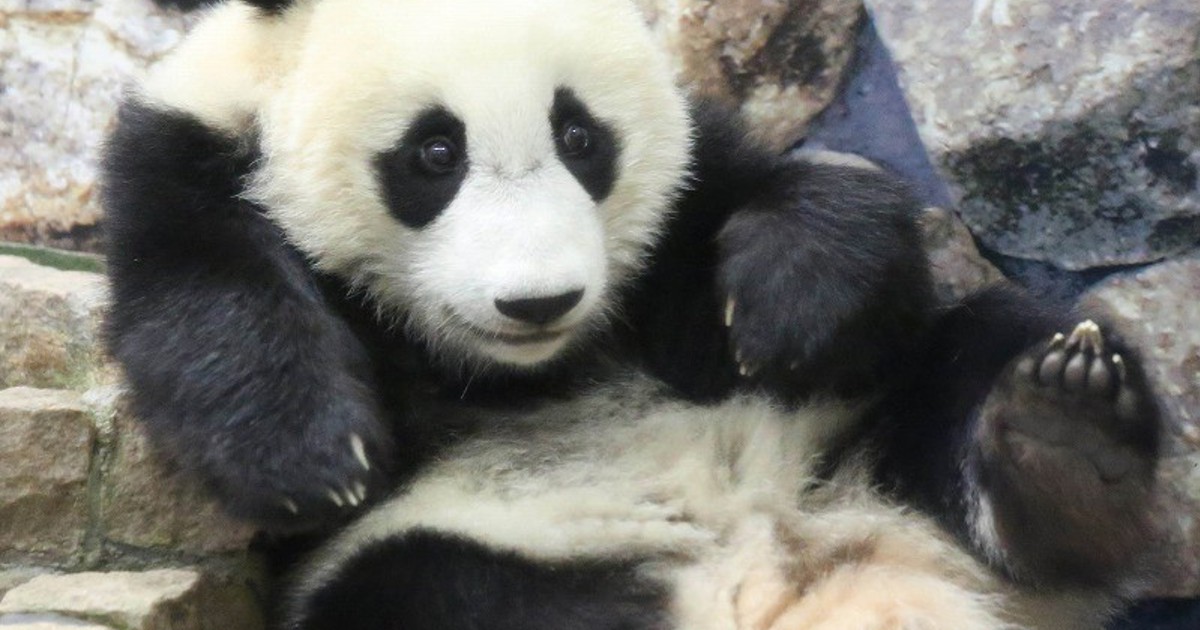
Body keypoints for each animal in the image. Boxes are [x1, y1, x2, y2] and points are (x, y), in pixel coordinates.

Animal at [100, 0, 1163, 627]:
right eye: (434, 153)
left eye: (582, 137)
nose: (540, 299)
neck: (516, 371)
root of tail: (793, 576)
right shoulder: (185, 162)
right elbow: (205, 301)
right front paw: (310, 457)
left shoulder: (690, 182)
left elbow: (837, 241)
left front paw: (788, 304)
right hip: (487, 551)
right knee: (438, 599)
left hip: (853, 448)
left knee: (974, 357)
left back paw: (1061, 436)